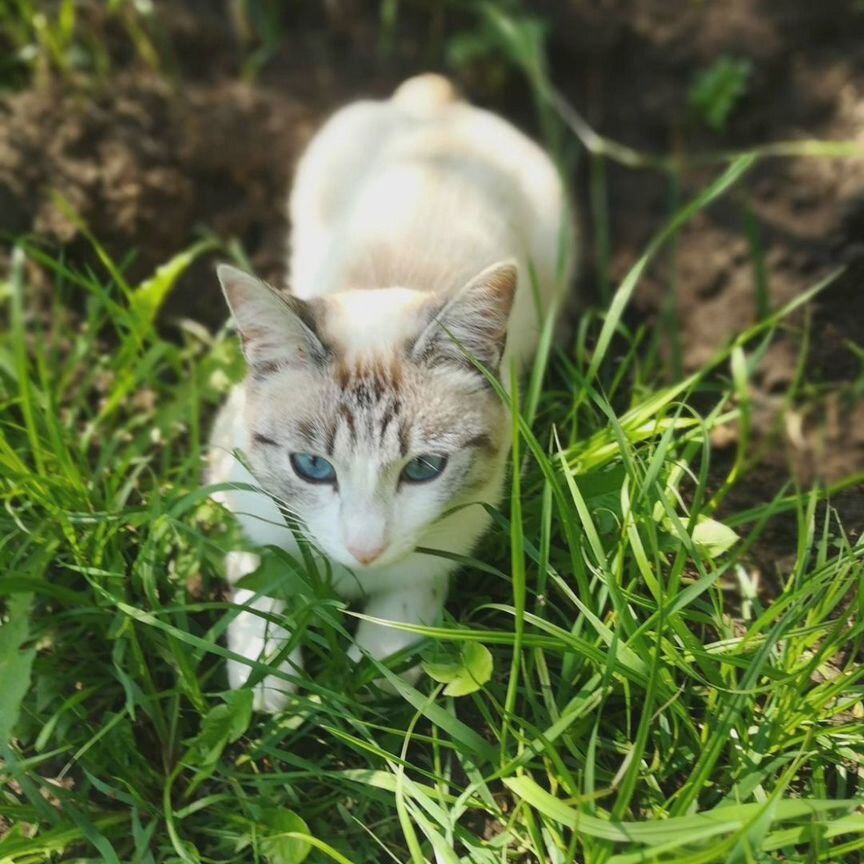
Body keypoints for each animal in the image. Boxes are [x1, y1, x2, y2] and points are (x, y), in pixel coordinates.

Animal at [207, 72, 572, 708]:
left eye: (424, 469)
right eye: (312, 467)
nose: (364, 551)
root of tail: (437, 103)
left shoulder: (451, 539)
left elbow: (394, 635)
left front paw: (357, 683)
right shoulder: (239, 494)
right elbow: (259, 597)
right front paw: (268, 688)